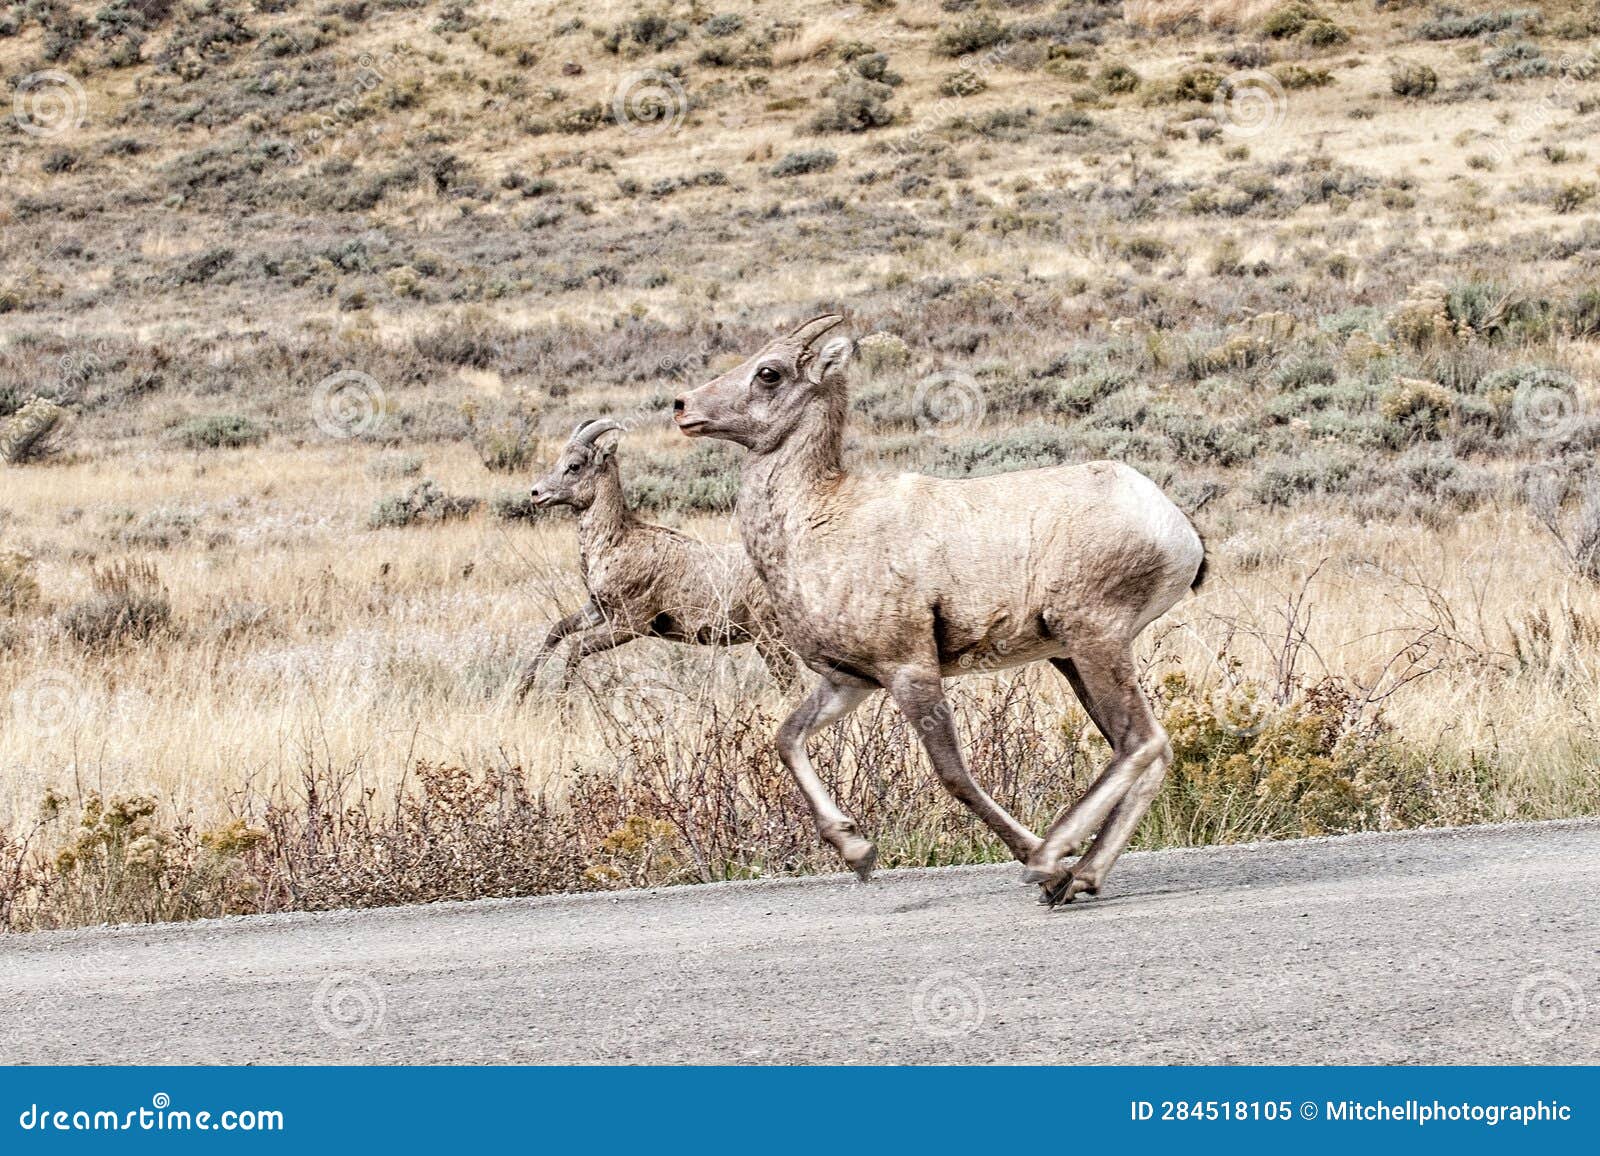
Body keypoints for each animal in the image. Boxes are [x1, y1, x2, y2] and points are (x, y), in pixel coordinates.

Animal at [513, 418, 801, 699]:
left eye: (574, 466)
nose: (536, 493)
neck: (616, 541)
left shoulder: (631, 625)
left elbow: (576, 649)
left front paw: (563, 705)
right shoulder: (598, 610)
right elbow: (557, 630)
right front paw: (522, 691)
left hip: (769, 638)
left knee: (790, 682)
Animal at [672, 316, 1206, 905]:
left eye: (769, 372)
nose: (682, 406)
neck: (816, 523)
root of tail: (1175, 526)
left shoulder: (911, 671)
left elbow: (953, 775)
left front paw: (1036, 859)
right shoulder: (850, 682)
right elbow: (788, 738)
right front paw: (857, 852)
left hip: (1094, 641)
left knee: (1140, 742)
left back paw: (1052, 861)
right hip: (1073, 660)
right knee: (1150, 749)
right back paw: (1081, 877)